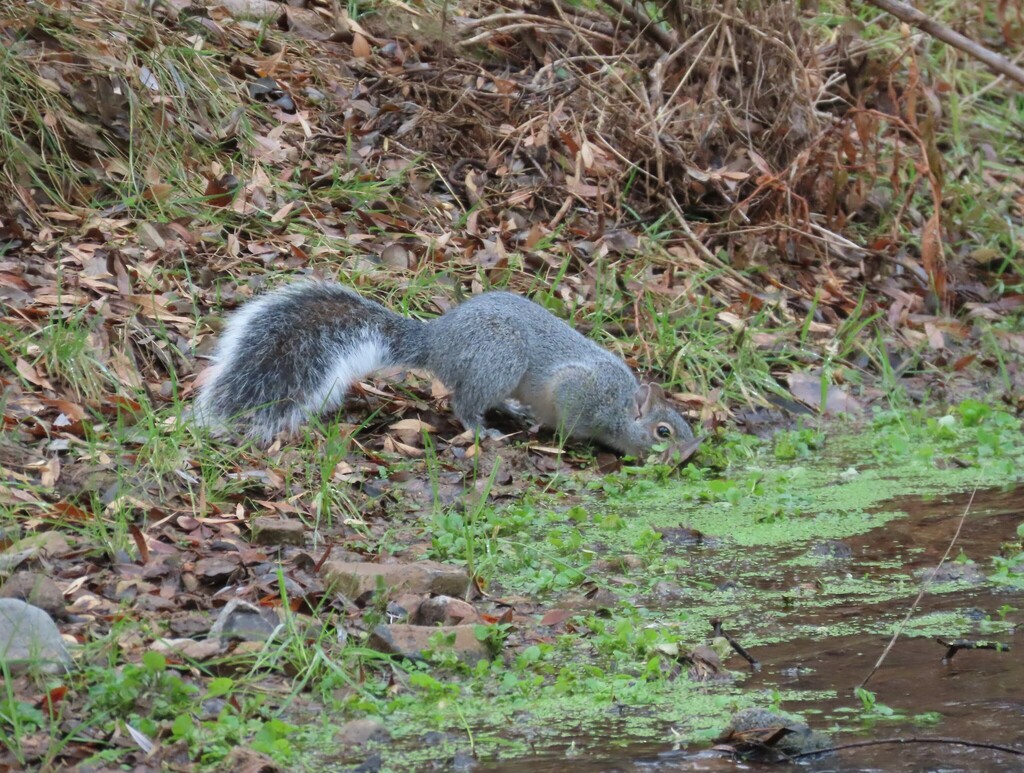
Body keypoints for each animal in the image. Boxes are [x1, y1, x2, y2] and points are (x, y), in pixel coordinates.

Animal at [193, 281, 696, 459]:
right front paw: (566, 440)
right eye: (664, 430)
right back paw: (484, 429)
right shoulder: (579, 389)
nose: (689, 455)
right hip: (499, 358)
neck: (620, 408)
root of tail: (438, 341)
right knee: (464, 403)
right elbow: (570, 420)